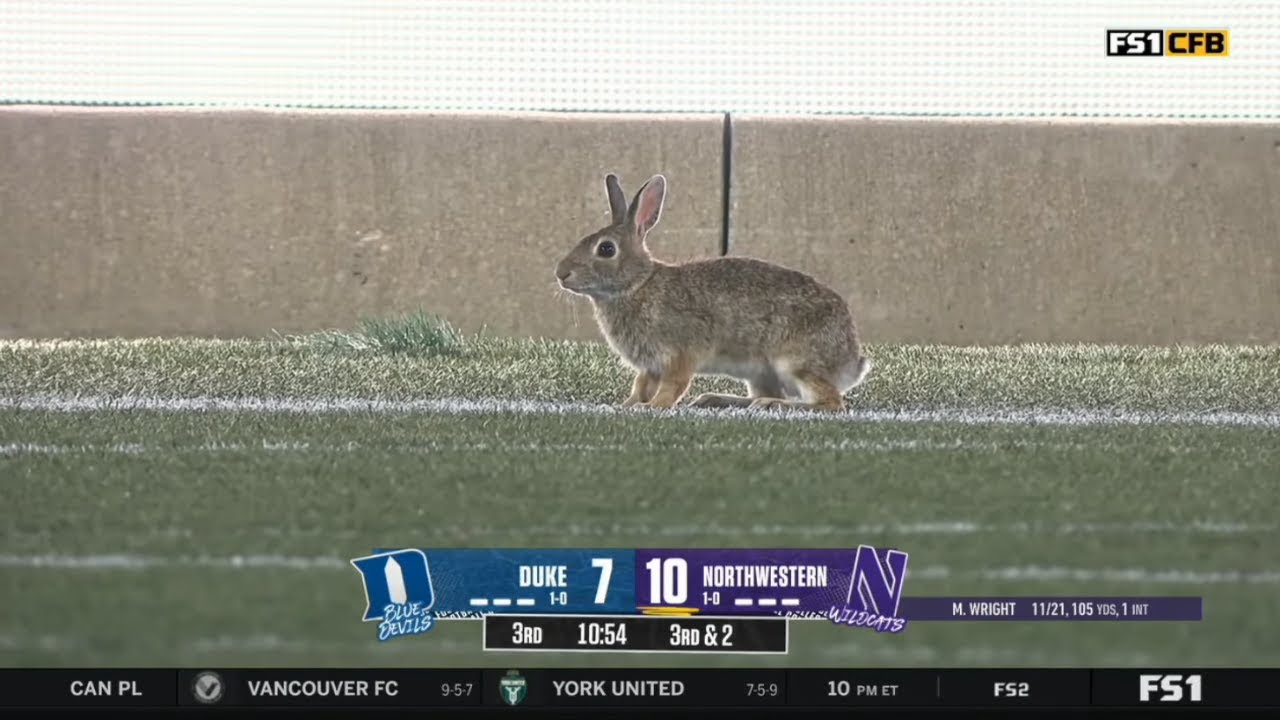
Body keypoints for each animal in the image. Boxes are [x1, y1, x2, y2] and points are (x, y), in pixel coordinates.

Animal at [554, 173, 871, 412]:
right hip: (761, 371)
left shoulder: (679, 354)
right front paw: (627, 404)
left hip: (795, 363)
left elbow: (673, 385)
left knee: (831, 403)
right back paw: (716, 399)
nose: (561, 274)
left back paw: (771, 405)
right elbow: (640, 385)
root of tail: (851, 359)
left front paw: (651, 407)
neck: (638, 284)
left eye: (606, 249)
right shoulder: (649, 365)